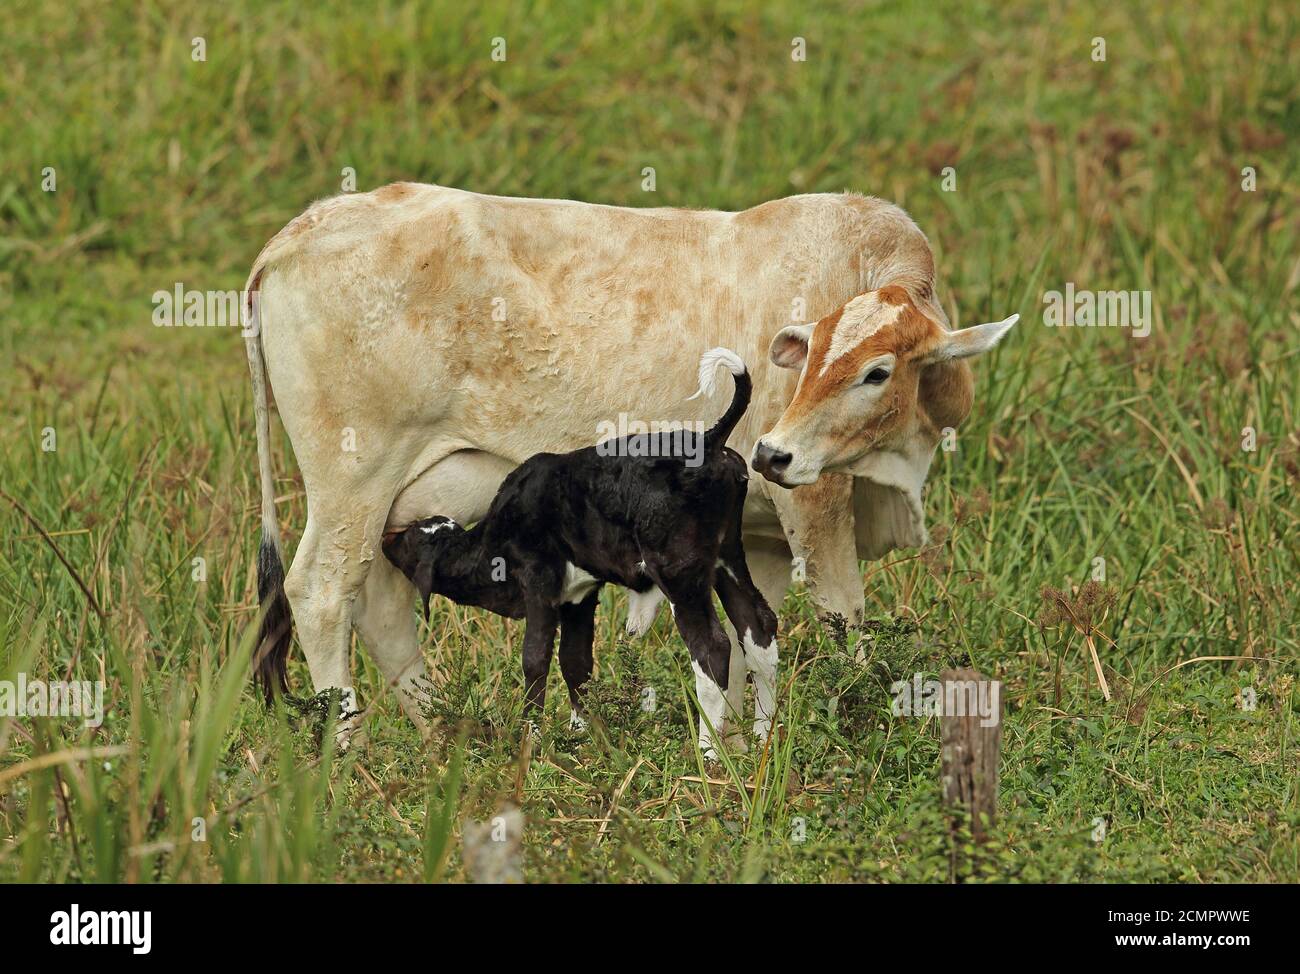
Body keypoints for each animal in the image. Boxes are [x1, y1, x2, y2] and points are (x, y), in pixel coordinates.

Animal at [242, 183, 1016, 745]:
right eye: (809, 358)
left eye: (876, 371)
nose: (772, 452)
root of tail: (304, 226)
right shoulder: (812, 503)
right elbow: (842, 615)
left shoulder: (751, 538)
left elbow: (746, 641)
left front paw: (738, 746)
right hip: (352, 482)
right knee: (321, 592)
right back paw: (348, 751)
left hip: (400, 500)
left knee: (379, 603)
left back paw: (438, 737)